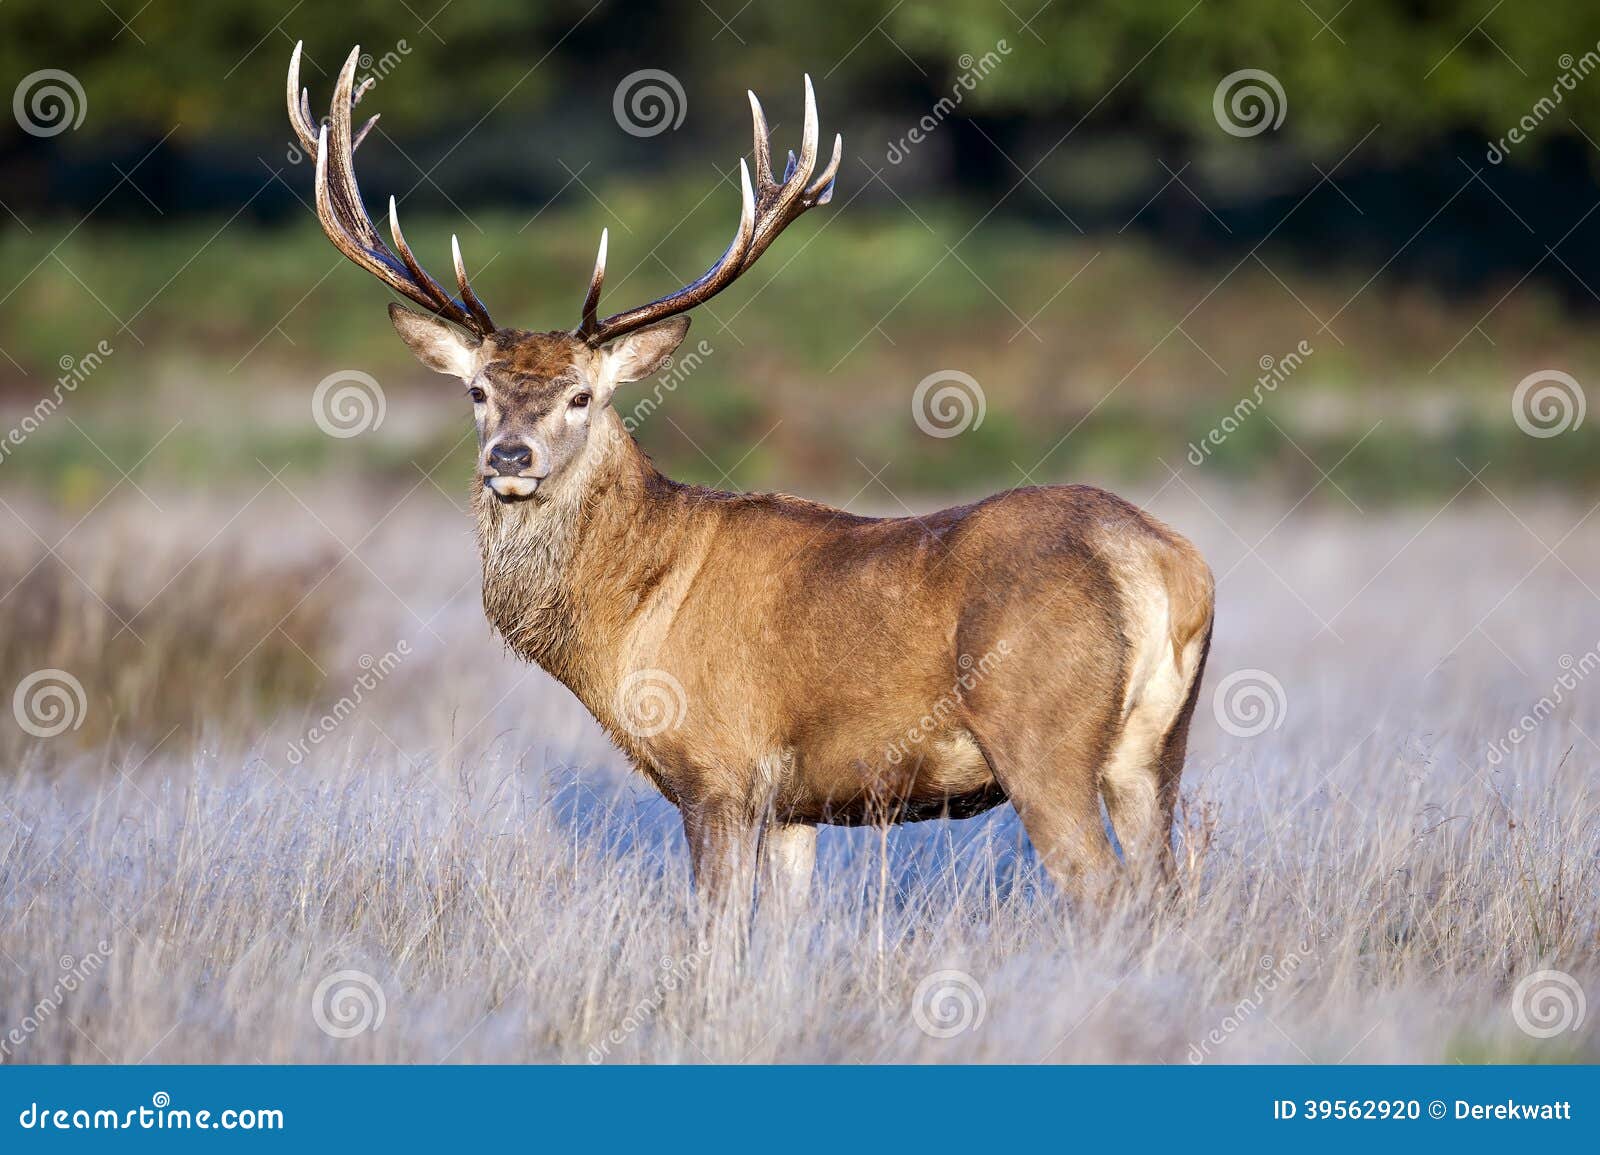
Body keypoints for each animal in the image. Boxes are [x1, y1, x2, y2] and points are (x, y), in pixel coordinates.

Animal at [288, 43, 1215, 917]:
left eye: (583, 395)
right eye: (477, 391)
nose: (509, 458)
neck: (624, 622)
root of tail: (1161, 568)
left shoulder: (718, 767)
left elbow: (719, 936)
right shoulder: (797, 803)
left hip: (1041, 735)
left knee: (1106, 892)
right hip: (1155, 751)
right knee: (1167, 893)